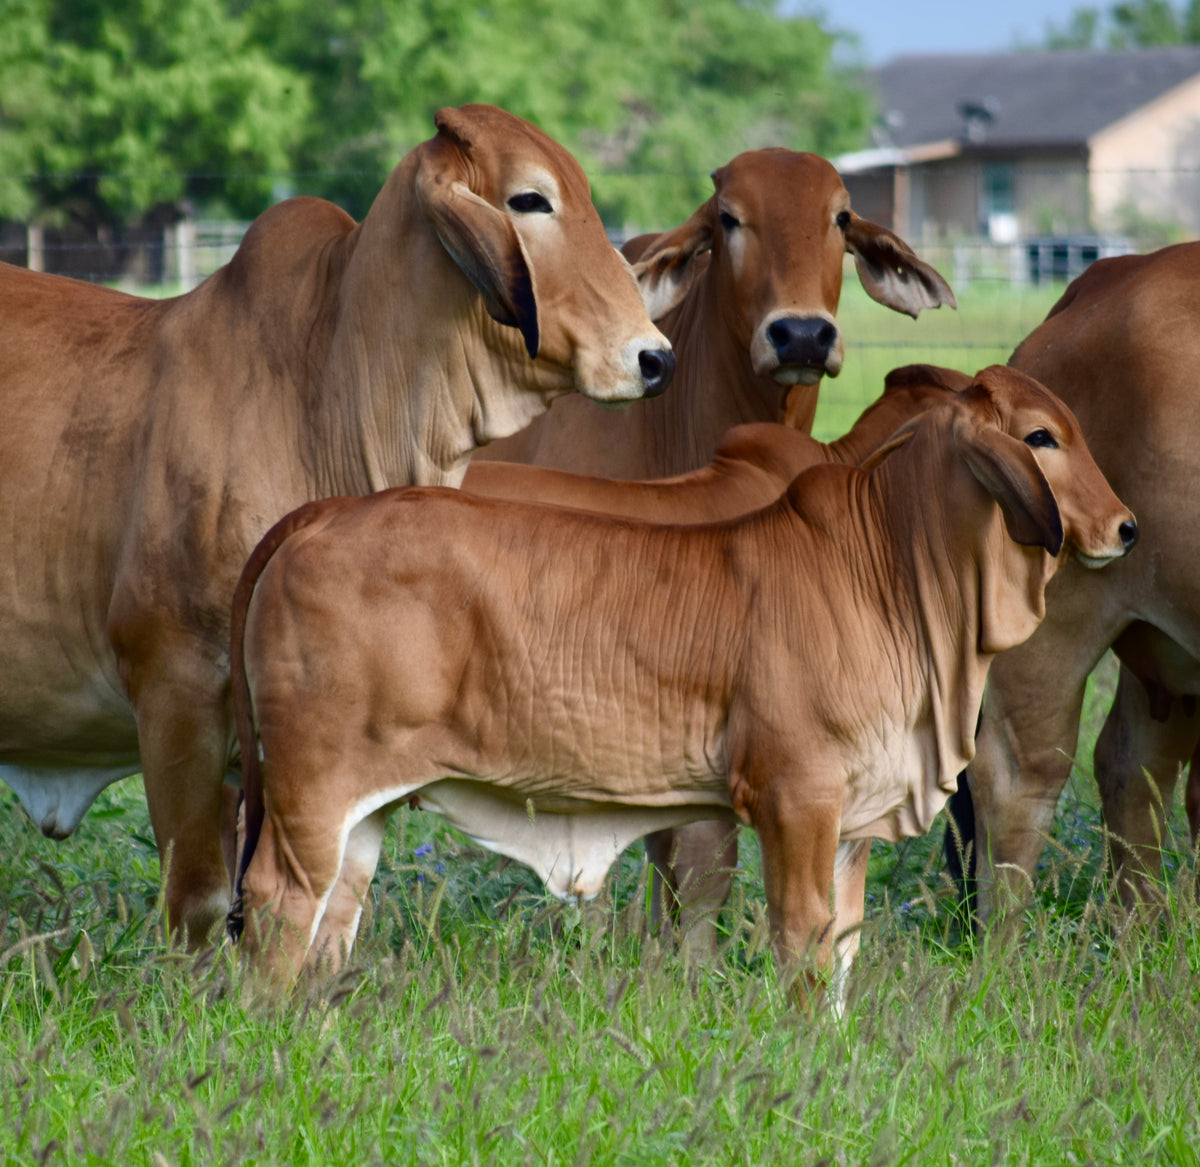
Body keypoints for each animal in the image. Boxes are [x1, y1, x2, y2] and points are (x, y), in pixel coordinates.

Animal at [228, 366, 1135, 994]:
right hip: (312, 785)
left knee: (333, 918)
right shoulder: (795, 798)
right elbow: (801, 943)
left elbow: (843, 945)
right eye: (1042, 437)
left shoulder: (851, 820)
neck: (889, 567)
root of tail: (325, 512)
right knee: (276, 902)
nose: (1126, 527)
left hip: (364, 809)